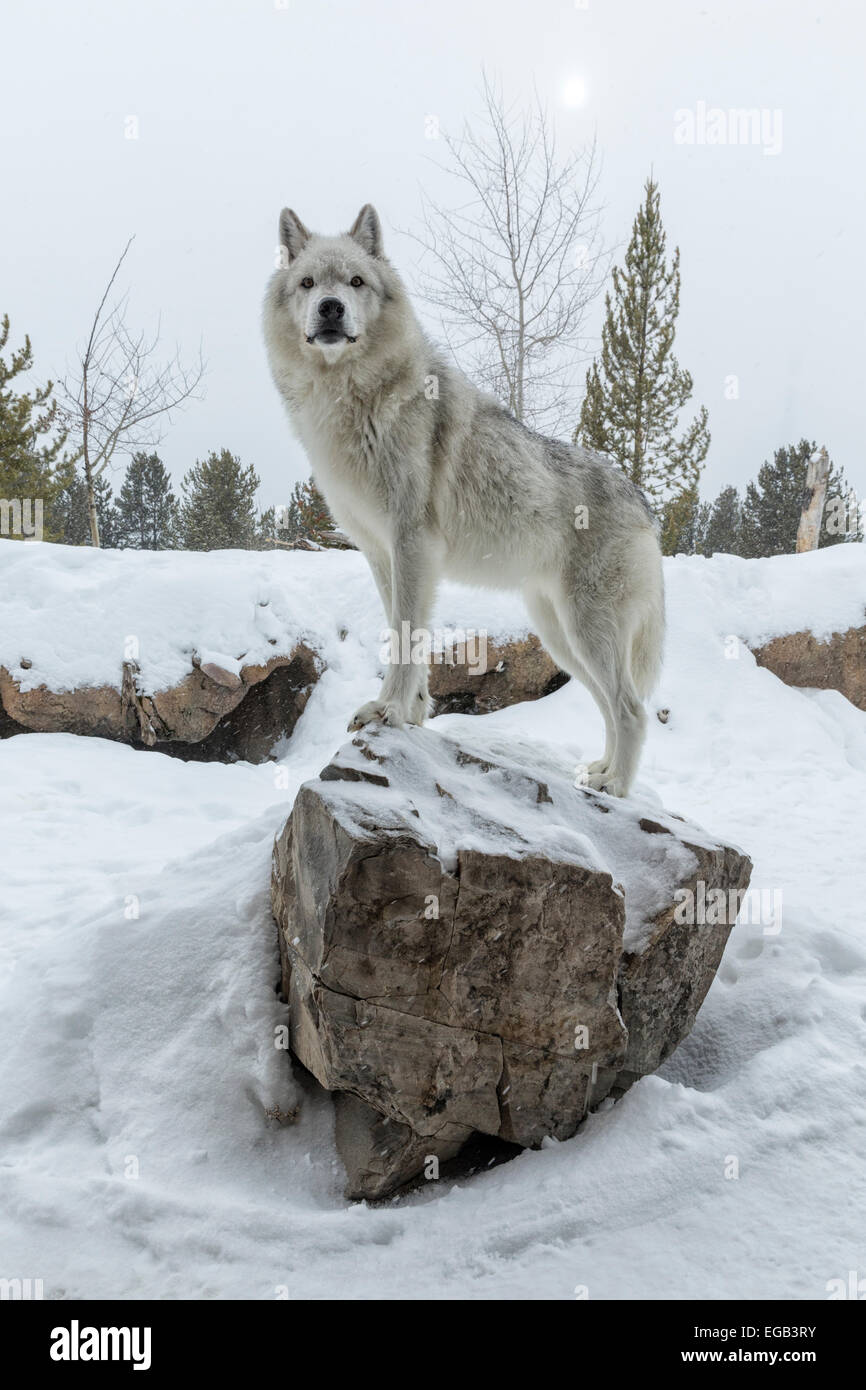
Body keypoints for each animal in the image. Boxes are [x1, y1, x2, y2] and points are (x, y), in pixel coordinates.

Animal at [263, 205, 664, 796]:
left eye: (356, 282)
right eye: (308, 284)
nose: (331, 308)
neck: (352, 403)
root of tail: (642, 501)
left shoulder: (413, 545)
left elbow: (405, 638)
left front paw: (388, 712)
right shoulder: (383, 554)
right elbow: (405, 635)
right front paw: (411, 714)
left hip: (585, 631)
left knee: (632, 708)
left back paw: (615, 788)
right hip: (561, 638)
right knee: (611, 707)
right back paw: (598, 773)